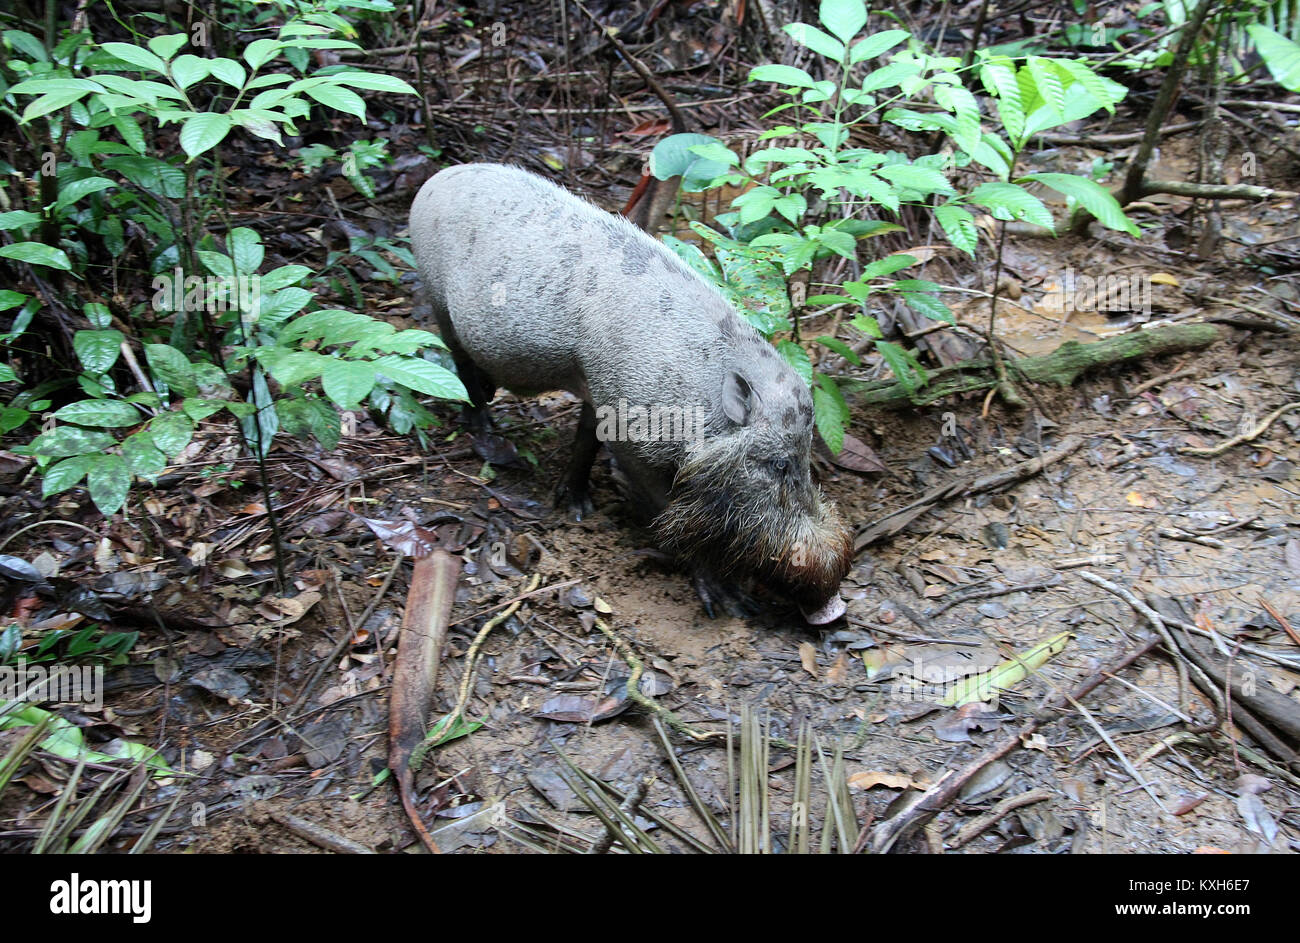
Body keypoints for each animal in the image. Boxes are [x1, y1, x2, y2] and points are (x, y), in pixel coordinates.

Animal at [409, 163, 851, 623]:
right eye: (779, 464)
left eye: (806, 456)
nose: (834, 607)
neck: (700, 406)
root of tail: (437, 179)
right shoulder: (633, 445)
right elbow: (670, 517)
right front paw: (730, 605)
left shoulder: (599, 394)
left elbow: (585, 442)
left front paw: (578, 511)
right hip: (438, 301)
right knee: (460, 365)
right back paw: (484, 429)